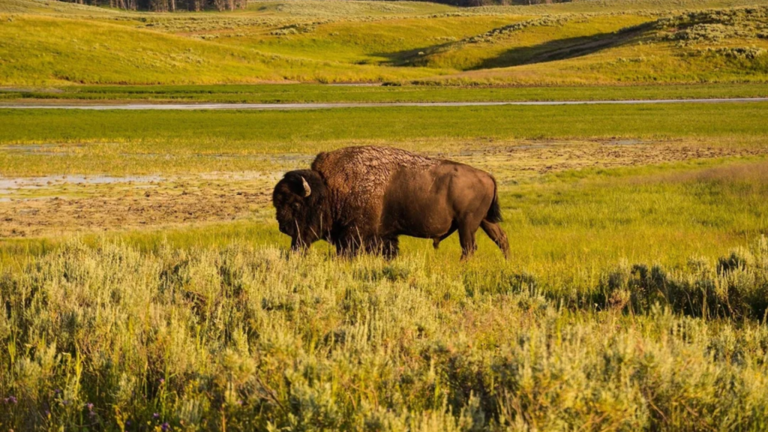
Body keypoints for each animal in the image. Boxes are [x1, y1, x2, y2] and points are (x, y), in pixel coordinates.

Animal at [272, 146, 509, 260]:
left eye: (295, 205)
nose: (283, 227)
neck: (330, 189)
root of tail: (488, 176)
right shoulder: (384, 237)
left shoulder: (354, 236)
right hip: (484, 222)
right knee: (501, 239)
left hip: (467, 225)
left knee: (469, 247)